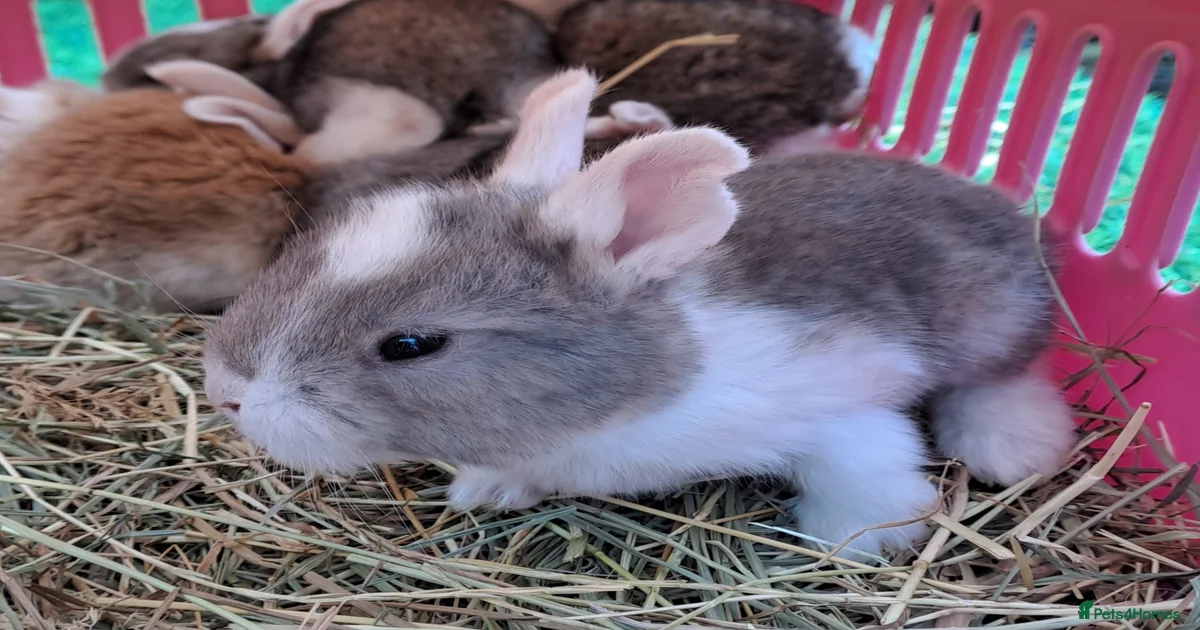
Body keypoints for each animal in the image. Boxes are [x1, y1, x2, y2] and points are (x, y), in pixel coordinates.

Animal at [201, 69, 1076, 558]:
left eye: (412, 344)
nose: (227, 395)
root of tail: (1011, 211)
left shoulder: (844, 409)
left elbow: (871, 475)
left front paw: (858, 544)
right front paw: (485, 492)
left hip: (994, 322)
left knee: (1002, 378)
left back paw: (1010, 447)